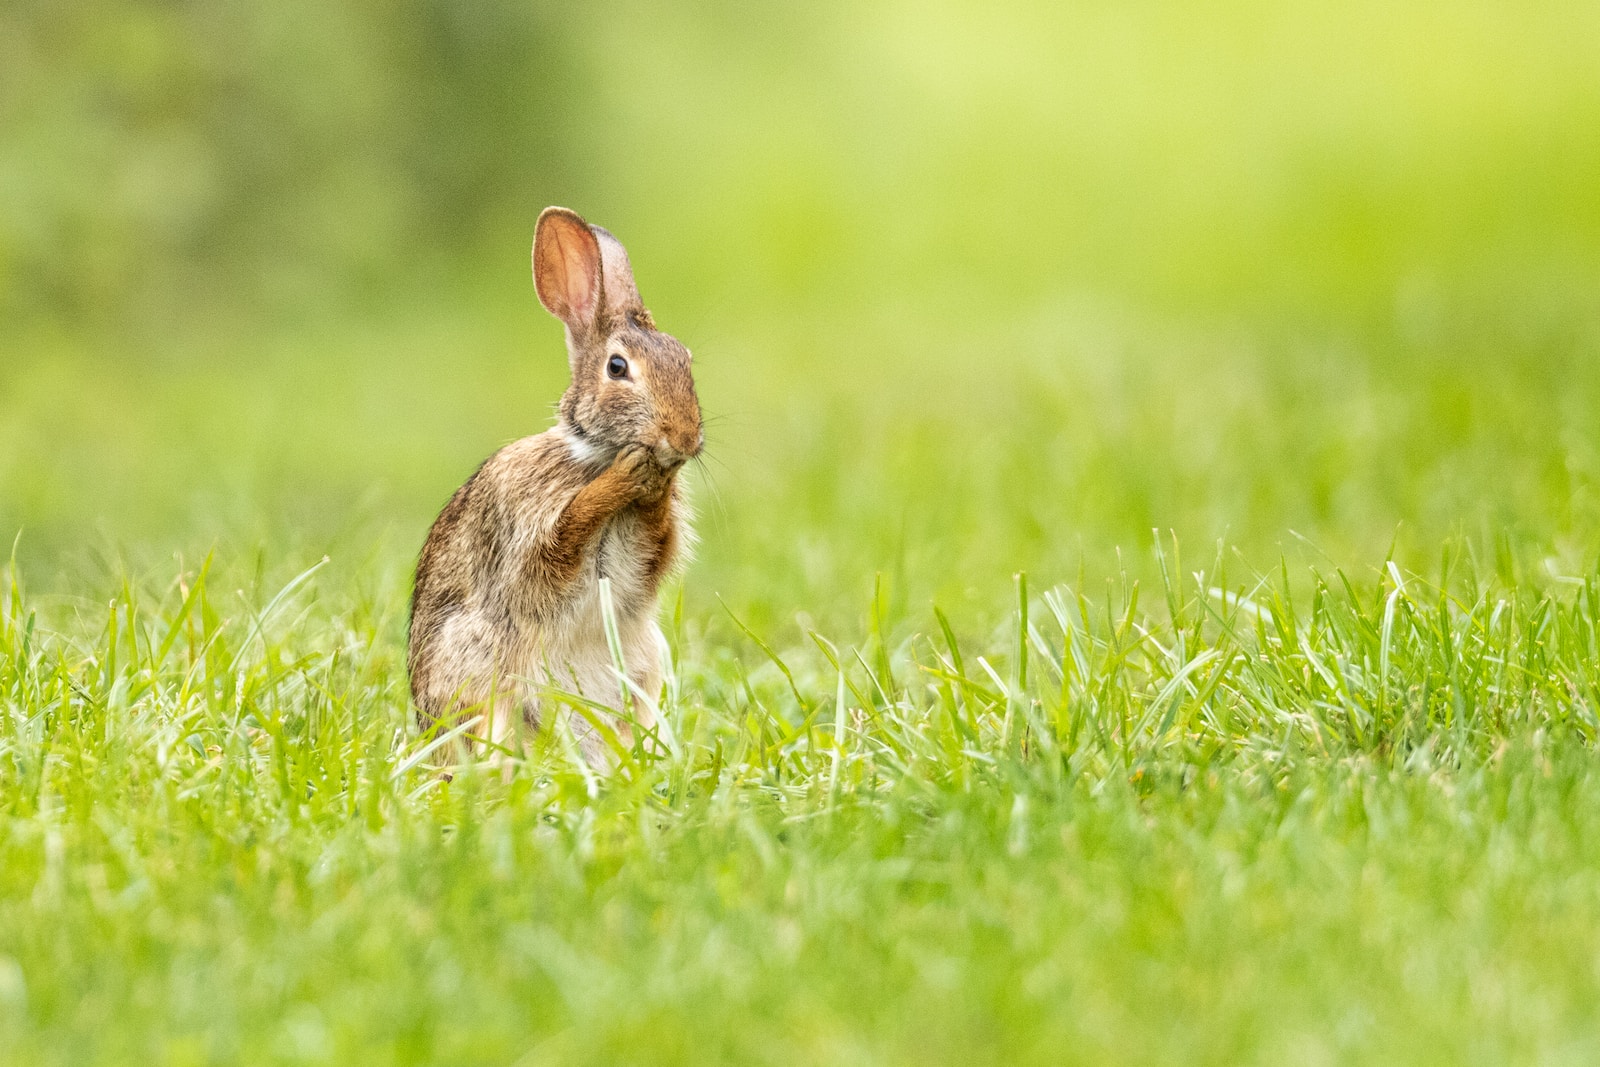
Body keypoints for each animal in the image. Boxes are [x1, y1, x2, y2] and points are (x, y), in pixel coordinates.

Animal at [407, 206, 702, 766]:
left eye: (686, 359)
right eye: (617, 368)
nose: (685, 437)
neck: (593, 454)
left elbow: (654, 544)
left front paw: (654, 483)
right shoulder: (527, 533)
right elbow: (565, 536)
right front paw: (630, 475)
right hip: (480, 680)